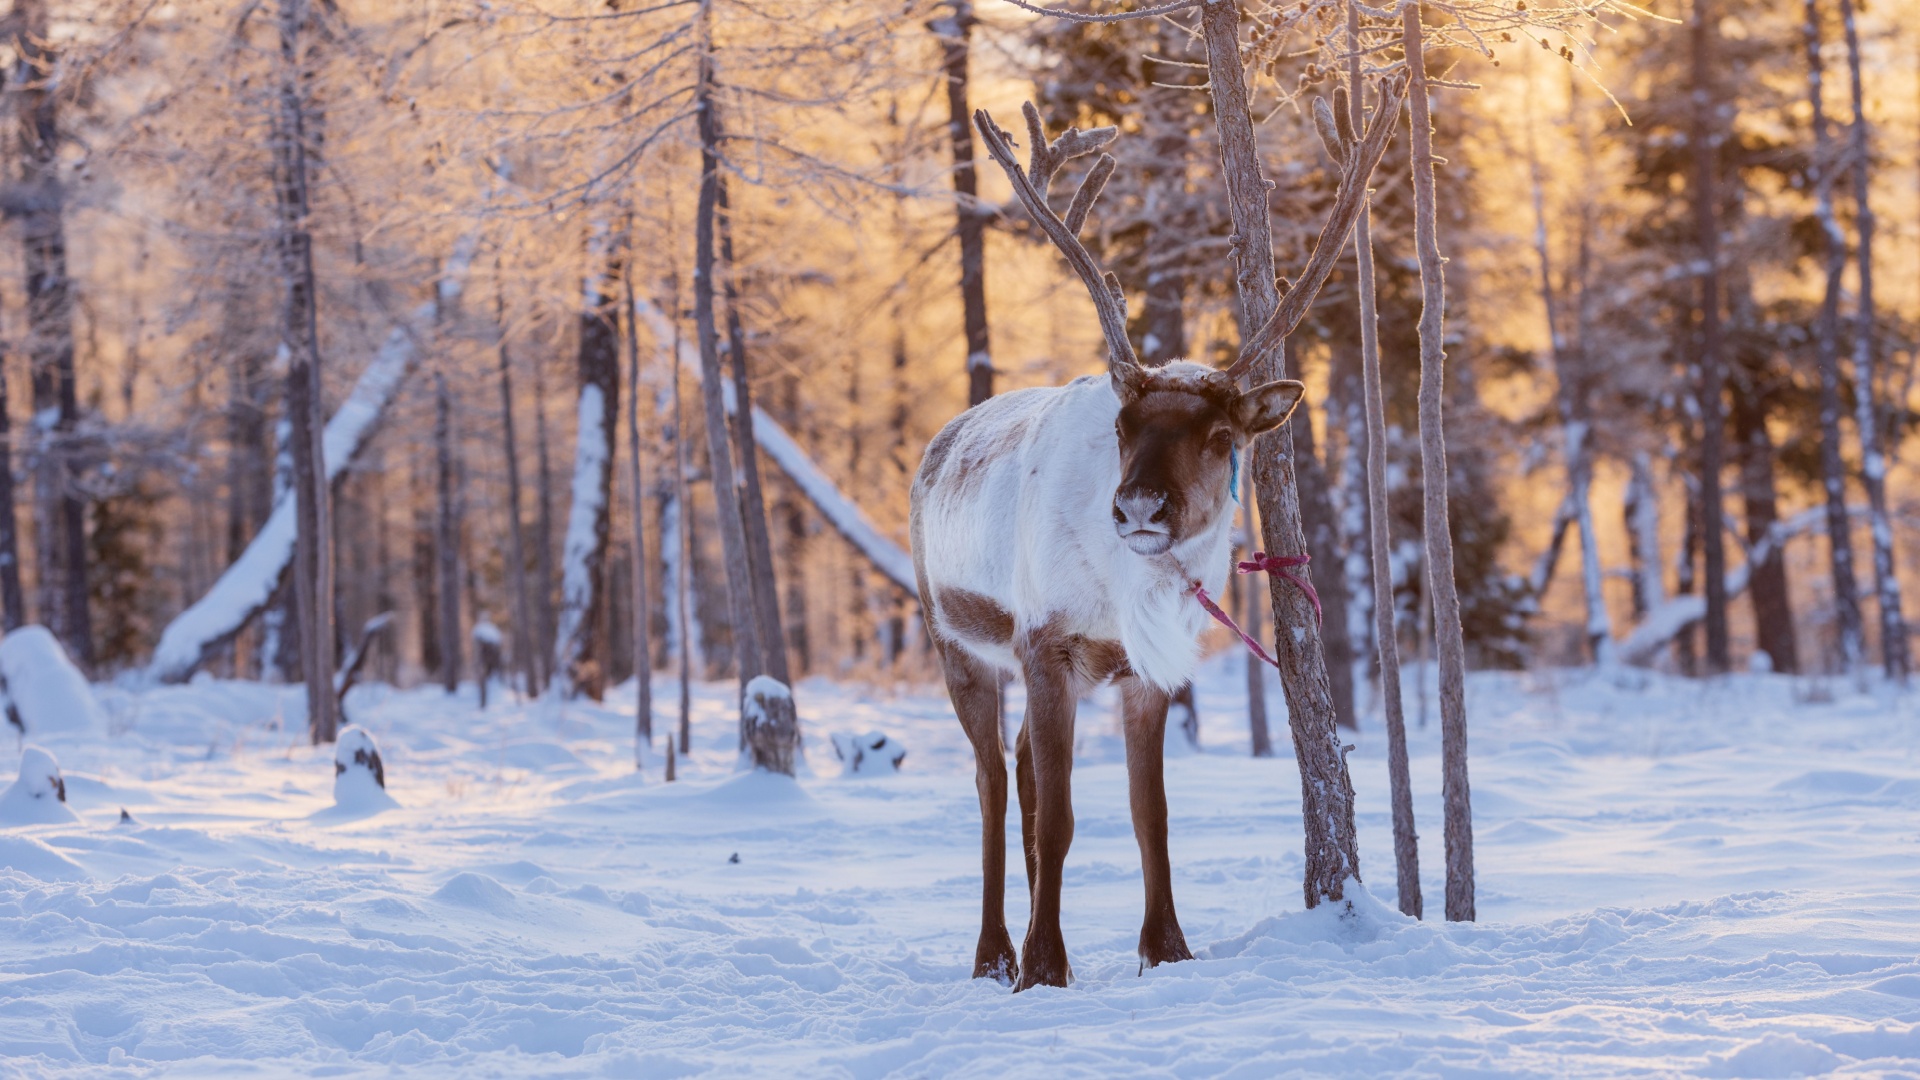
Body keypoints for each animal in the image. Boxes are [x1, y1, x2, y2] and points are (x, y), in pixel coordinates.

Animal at [909, 79, 1407, 992]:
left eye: (1220, 436)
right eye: (1122, 426)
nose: (1139, 505)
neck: (1122, 596)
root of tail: (937, 443)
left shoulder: (1145, 672)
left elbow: (1152, 815)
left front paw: (1166, 947)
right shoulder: (1046, 643)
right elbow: (1062, 817)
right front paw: (1045, 965)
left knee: (1022, 767)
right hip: (955, 639)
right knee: (993, 781)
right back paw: (995, 952)